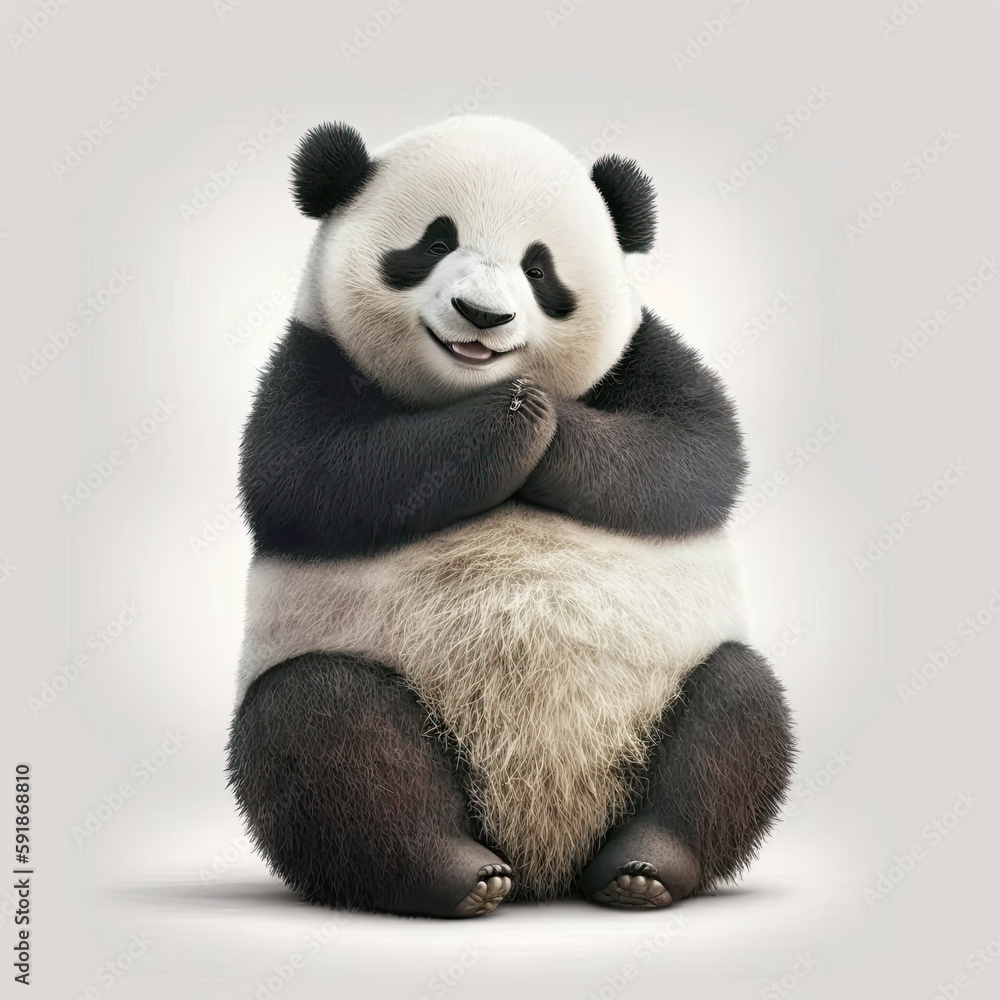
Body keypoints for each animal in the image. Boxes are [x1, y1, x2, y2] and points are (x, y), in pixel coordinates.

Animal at [226, 115, 794, 918]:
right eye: (435, 242)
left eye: (539, 269)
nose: (483, 317)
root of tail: (544, 858)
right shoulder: (309, 358)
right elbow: (309, 476)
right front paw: (513, 418)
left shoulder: (646, 349)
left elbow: (698, 454)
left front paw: (545, 414)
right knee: (324, 730)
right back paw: (458, 874)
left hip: (671, 702)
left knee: (737, 714)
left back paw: (644, 870)